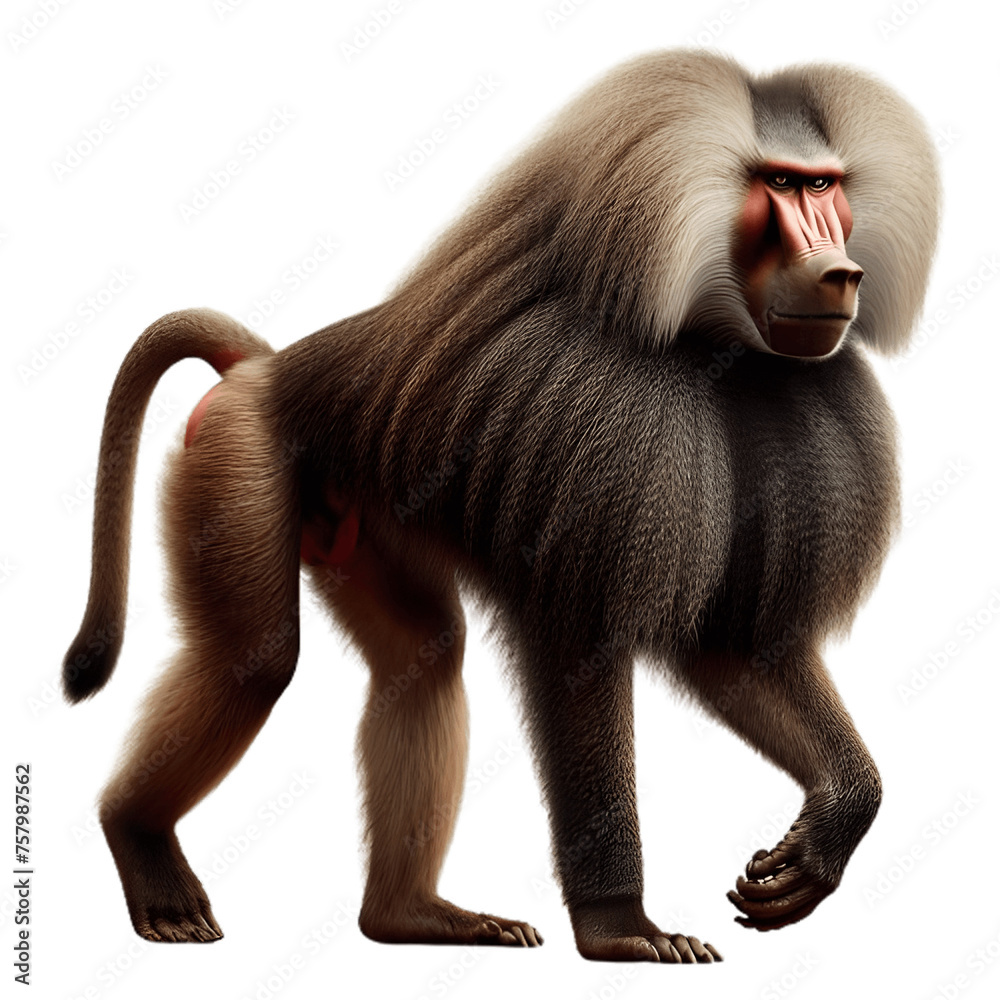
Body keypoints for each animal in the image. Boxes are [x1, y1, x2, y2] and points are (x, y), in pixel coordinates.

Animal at [63, 49, 939, 963]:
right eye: (780, 184)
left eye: (826, 185)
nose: (841, 272)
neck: (712, 338)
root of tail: (262, 370)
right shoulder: (617, 434)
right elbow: (581, 649)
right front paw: (622, 930)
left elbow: (737, 648)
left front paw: (828, 830)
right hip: (238, 460)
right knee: (256, 661)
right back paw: (139, 842)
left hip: (353, 522)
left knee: (423, 658)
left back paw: (411, 916)